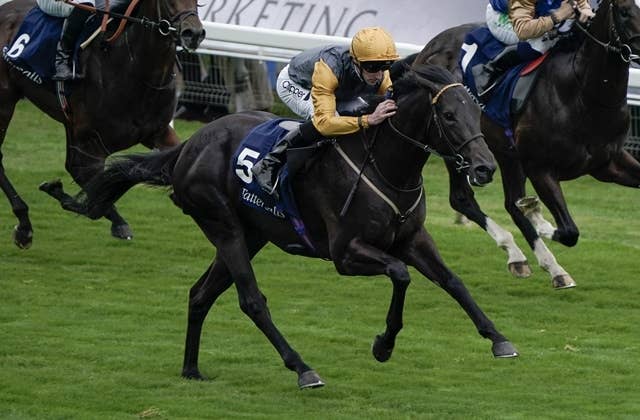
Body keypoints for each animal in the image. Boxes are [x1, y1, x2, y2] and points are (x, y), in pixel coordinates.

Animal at [0, 0, 204, 248]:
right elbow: (94, 198)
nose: (194, 33)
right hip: (4, 100)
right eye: (166, 1)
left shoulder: (158, 132)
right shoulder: (88, 142)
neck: (132, 67)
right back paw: (24, 226)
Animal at [77, 64, 519, 389]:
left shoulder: (413, 239)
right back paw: (302, 368)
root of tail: (189, 145)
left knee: (200, 294)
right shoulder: (346, 253)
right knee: (251, 301)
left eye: (477, 114)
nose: (485, 168)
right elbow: (400, 274)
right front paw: (384, 345)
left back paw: (191, 370)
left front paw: (498, 338)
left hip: (251, 234)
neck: (386, 165)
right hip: (224, 226)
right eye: (448, 116)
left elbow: (452, 281)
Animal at [413, 0, 640, 289]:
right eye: (624, 10)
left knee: (510, 203)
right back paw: (518, 252)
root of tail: (428, 49)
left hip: (505, 152)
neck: (583, 93)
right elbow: (569, 231)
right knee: (464, 198)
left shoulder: (609, 163)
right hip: (454, 144)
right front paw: (537, 217)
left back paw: (547, 266)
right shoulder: (539, 166)